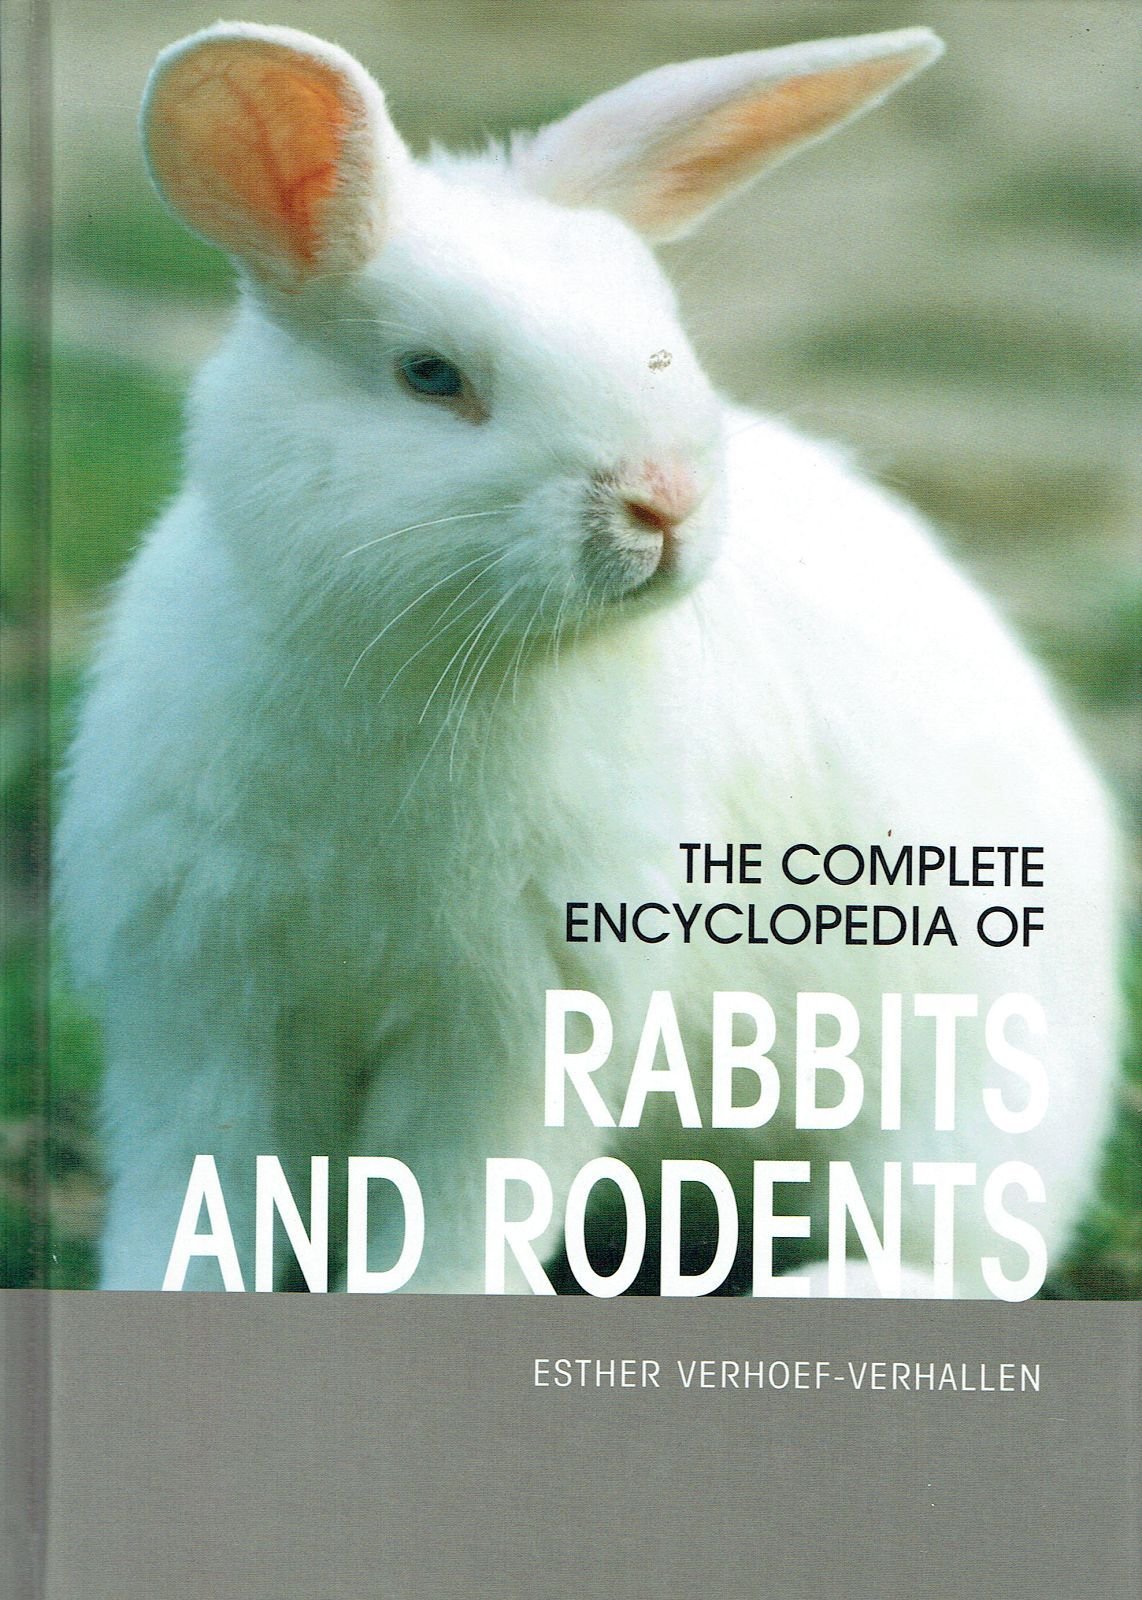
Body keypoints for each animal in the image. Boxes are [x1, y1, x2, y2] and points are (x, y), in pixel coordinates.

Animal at [56, 21, 1121, 1295]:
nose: (661, 500)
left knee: (945, 1238)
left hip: (962, 1093)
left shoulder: (514, 1035)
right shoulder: (204, 1005)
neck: (418, 672)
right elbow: (195, 1191)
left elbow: (454, 1215)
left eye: (664, 346)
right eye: (430, 376)